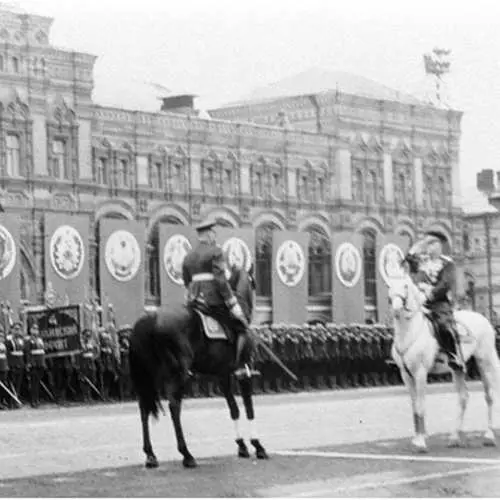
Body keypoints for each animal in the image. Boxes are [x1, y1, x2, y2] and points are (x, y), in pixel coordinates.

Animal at [130, 266, 270, 468]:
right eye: (254, 283)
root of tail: (152, 316)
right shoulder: (244, 370)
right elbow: (249, 408)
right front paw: (257, 446)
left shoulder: (223, 375)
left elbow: (234, 408)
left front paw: (242, 446)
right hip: (178, 373)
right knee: (174, 407)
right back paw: (186, 454)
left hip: (150, 375)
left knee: (144, 408)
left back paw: (150, 455)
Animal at [390, 272, 500, 452]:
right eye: (389, 285)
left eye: (405, 286)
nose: (396, 307)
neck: (411, 331)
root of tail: (482, 318)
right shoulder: (406, 375)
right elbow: (414, 406)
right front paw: (417, 438)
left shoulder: (421, 373)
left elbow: (420, 405)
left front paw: (421, 443)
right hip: (458, 368)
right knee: (463, 397)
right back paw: (454, 437)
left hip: (484, 362)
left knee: (489, 396)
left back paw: (489, 435)